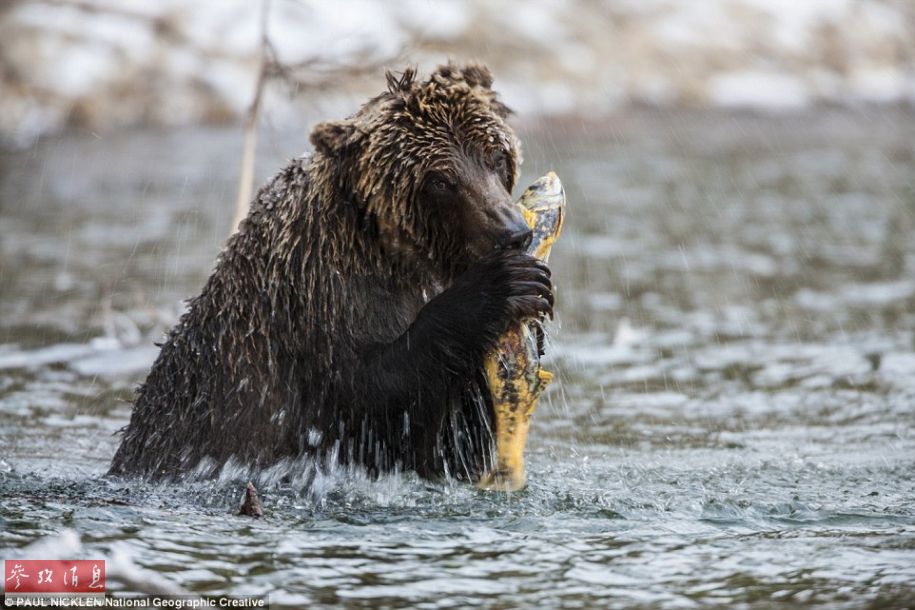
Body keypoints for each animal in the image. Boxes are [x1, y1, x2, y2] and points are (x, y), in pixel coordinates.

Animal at [108, 62, 553, 482]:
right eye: (441, 180)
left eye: (496, 156)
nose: (513, 232)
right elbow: (372, 399)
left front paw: (534, 312)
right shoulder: (313, 310)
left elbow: (453, 443)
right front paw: (504, 287)